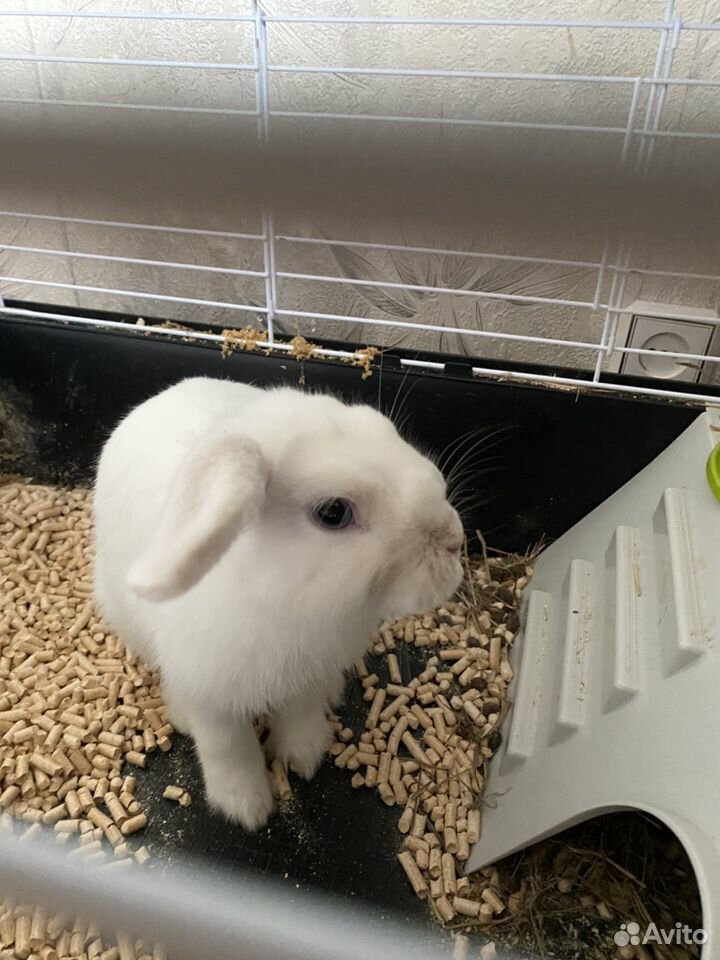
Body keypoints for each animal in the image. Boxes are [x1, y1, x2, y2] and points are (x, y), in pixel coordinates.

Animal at [92, 376, 464, 831]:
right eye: (333, 512)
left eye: (381, 426)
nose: (455, 539)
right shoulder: (212, 699)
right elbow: (228, 750)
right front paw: (246, 807)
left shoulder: (303, 679)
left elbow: (300, 717)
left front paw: (304, 757)